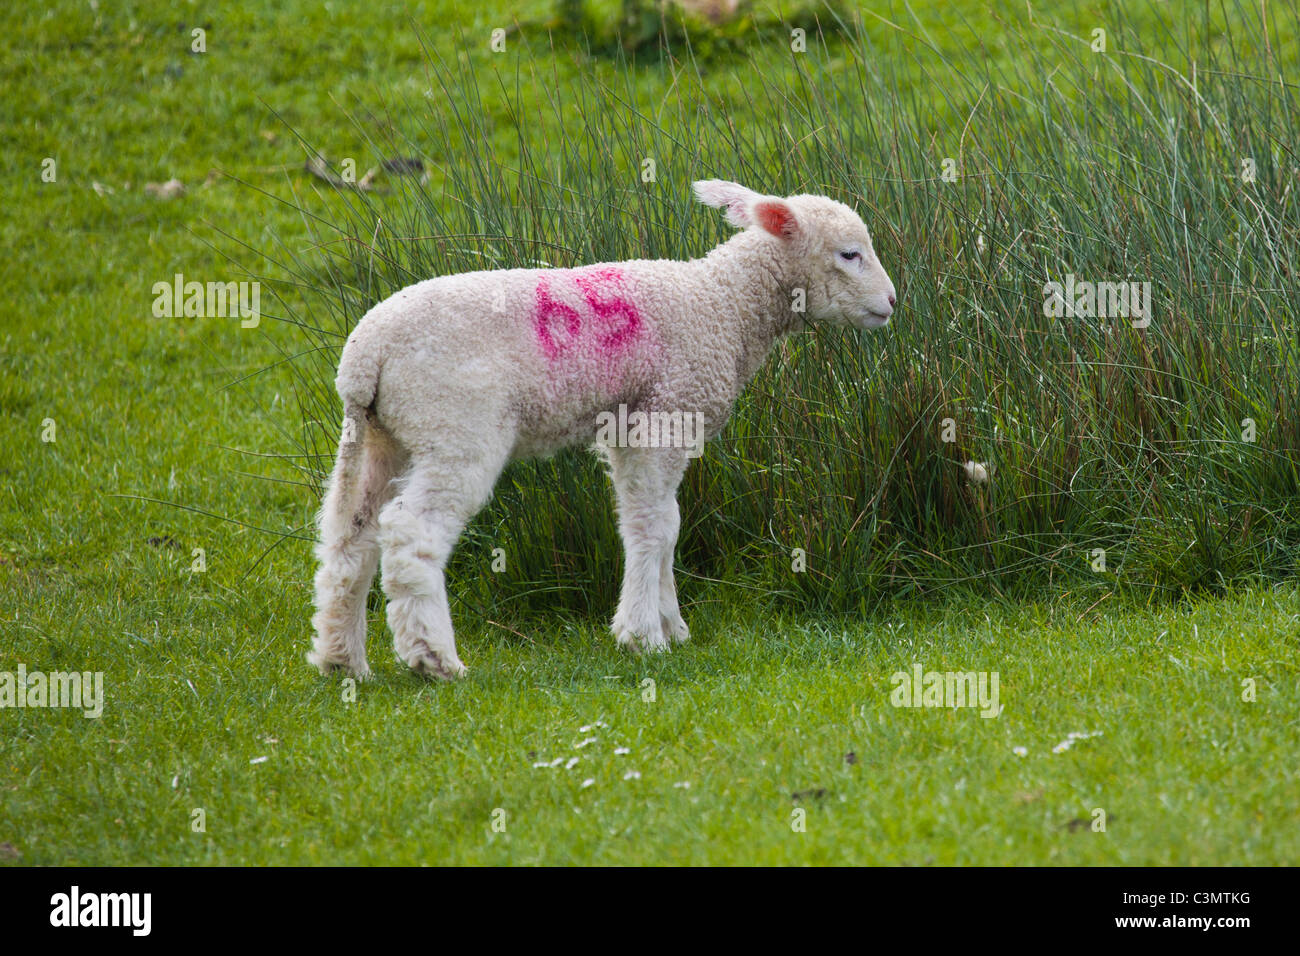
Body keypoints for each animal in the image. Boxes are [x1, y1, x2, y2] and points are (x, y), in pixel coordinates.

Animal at [308, 179, 897, 679]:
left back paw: (343, 660)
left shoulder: (632, 423)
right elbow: (653, 526)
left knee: (350, 535)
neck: (723, 303)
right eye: (850, 254)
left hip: (383, 436)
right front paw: (642, 636)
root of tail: (365, 359)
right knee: (411, 533)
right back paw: (434, 660)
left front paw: (669, 626)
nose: (892, 303)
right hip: (456, 425)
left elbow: (663, 521)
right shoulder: (669, 410)